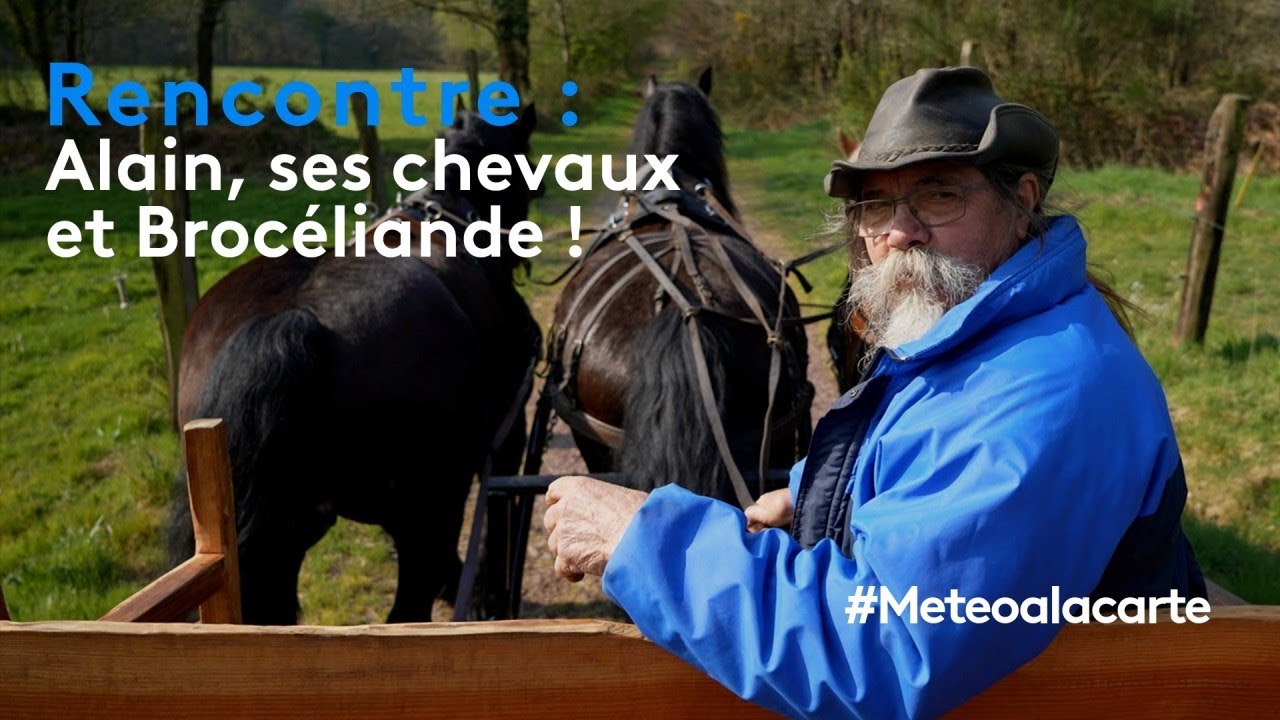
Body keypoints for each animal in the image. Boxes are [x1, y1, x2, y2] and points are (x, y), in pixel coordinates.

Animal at [171, 107, 542, 624]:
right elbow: (500, 516)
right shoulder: (507, 434)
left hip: (285, 534)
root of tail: (293, 320)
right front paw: (489, 597)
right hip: (425, 507)